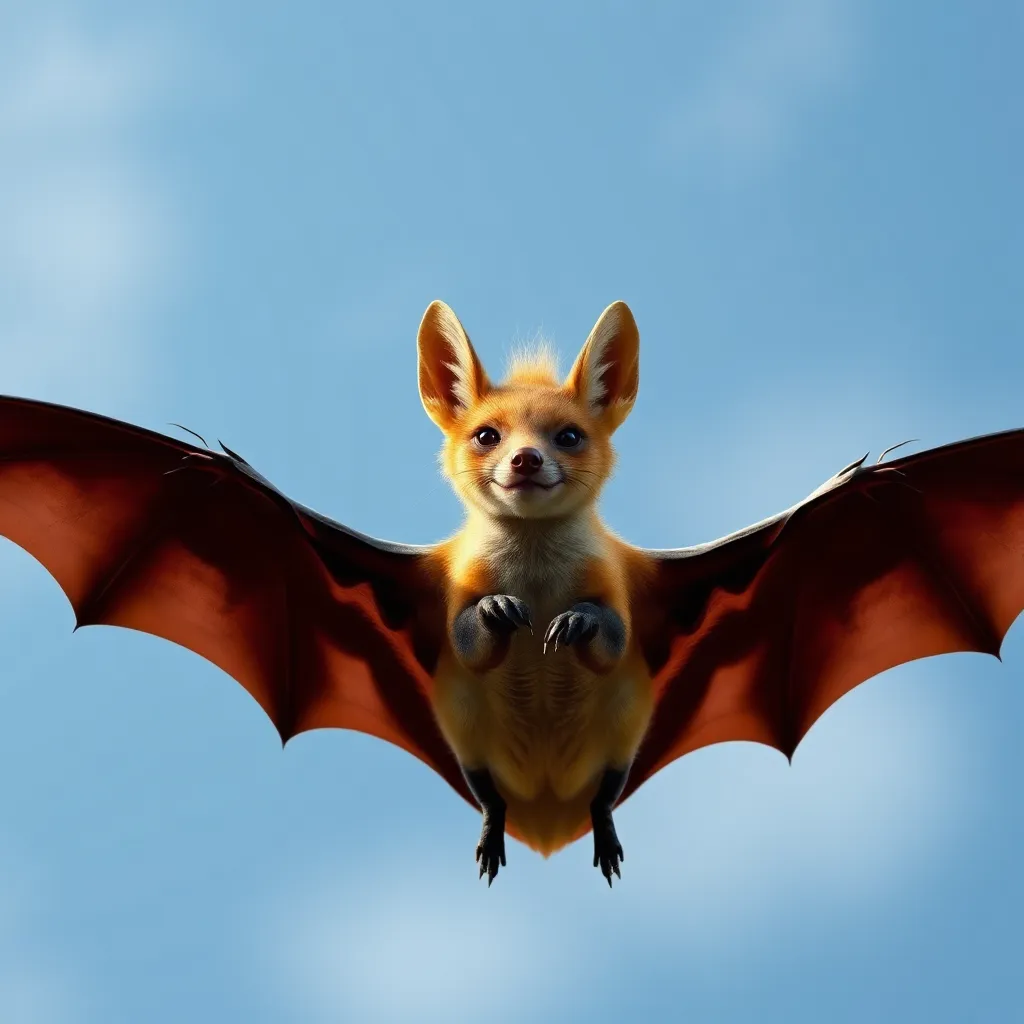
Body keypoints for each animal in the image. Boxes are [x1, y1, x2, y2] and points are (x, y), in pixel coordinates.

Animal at [416, 298, 654, 886]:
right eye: (487, 436)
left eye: (568, 436)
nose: (526, 459)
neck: (537, 573)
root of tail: (547, 813)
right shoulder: (460, 592)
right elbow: (468, 640)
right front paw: (498, 608)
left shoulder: (614, 589)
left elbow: (612, 637)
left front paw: (576, 621)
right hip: (462, 722)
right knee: (488, 796)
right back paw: (493, 833)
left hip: (626, 719)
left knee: (604, 796)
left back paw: (602, 834)